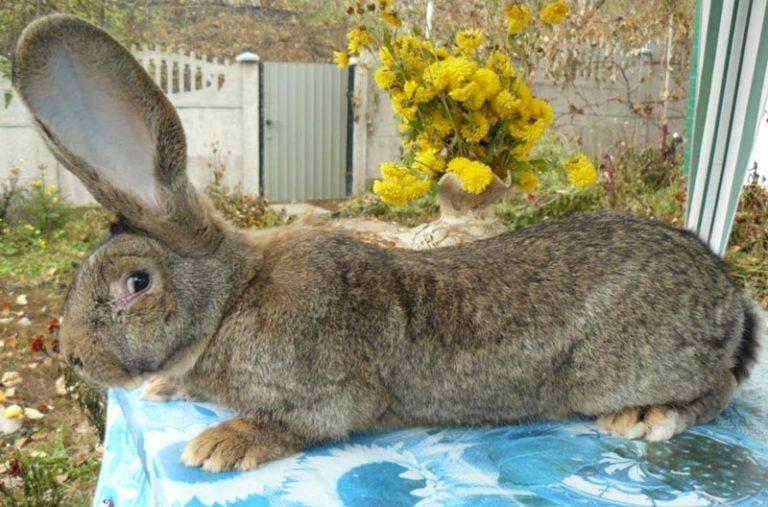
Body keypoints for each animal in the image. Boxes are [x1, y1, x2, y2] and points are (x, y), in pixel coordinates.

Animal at [13, 14, 762, 473]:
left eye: (136, 283)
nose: (71, 355)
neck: (231, 301)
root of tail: (731, 300)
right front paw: (167, 387)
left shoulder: (335, 391)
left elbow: (309, 421)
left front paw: (223, 442)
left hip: (618, 370)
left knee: (722, 387)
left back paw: (649, 416)